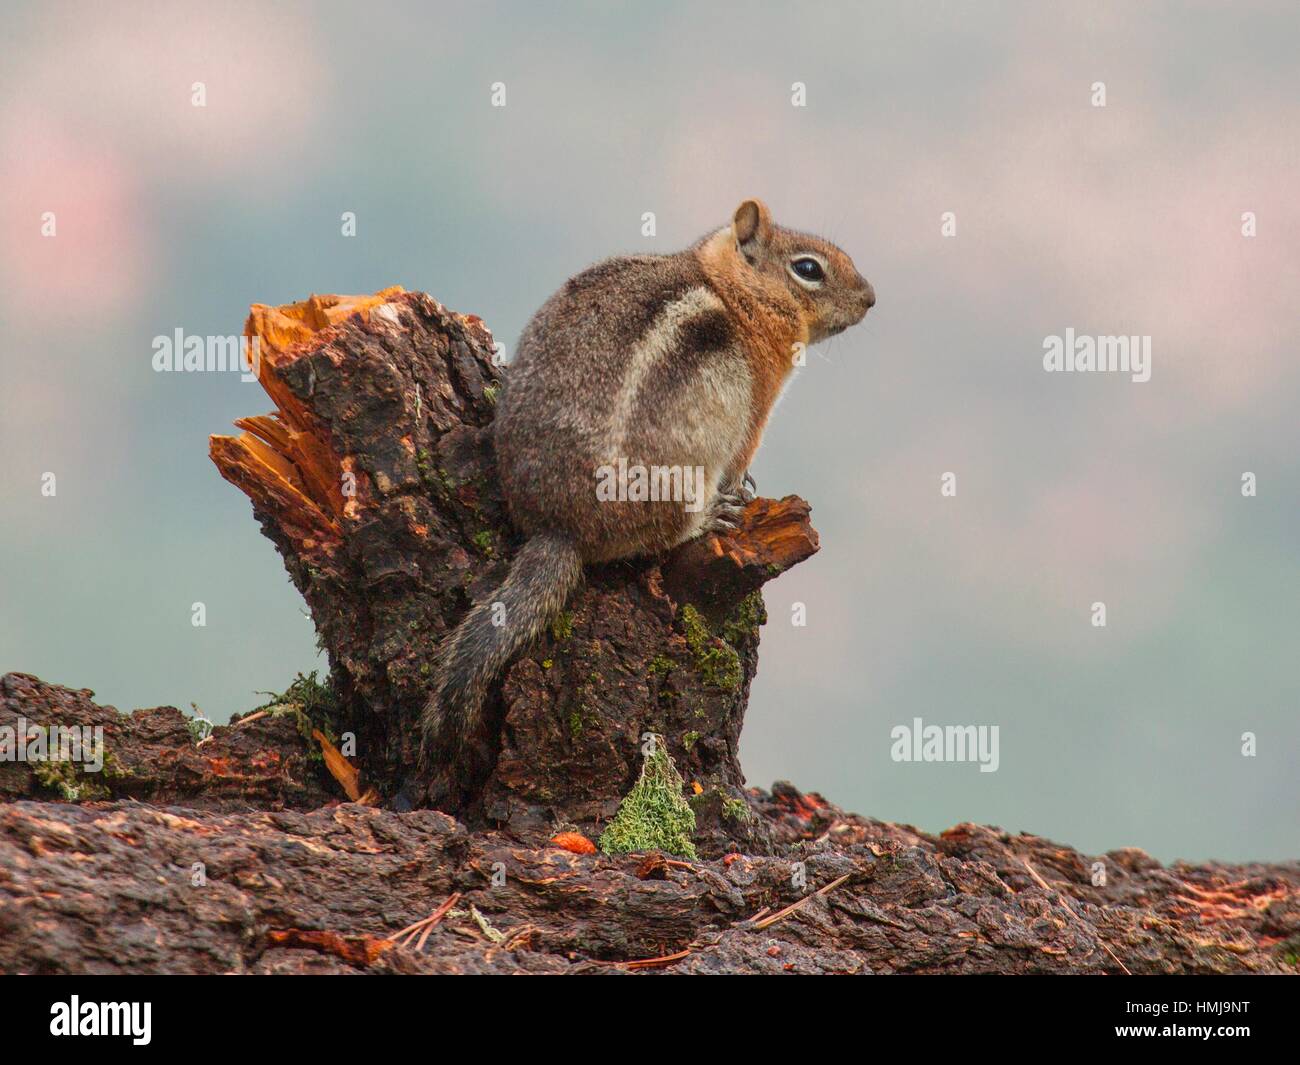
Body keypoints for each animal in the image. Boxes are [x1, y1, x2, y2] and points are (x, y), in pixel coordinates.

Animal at [421, 198, 874, 788]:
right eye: (808, 269)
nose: (871, 298)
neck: (732, 289)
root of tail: (558, 529)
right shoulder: (755, 409)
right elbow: (743, 458)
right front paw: (743, 487)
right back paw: (711, 516)